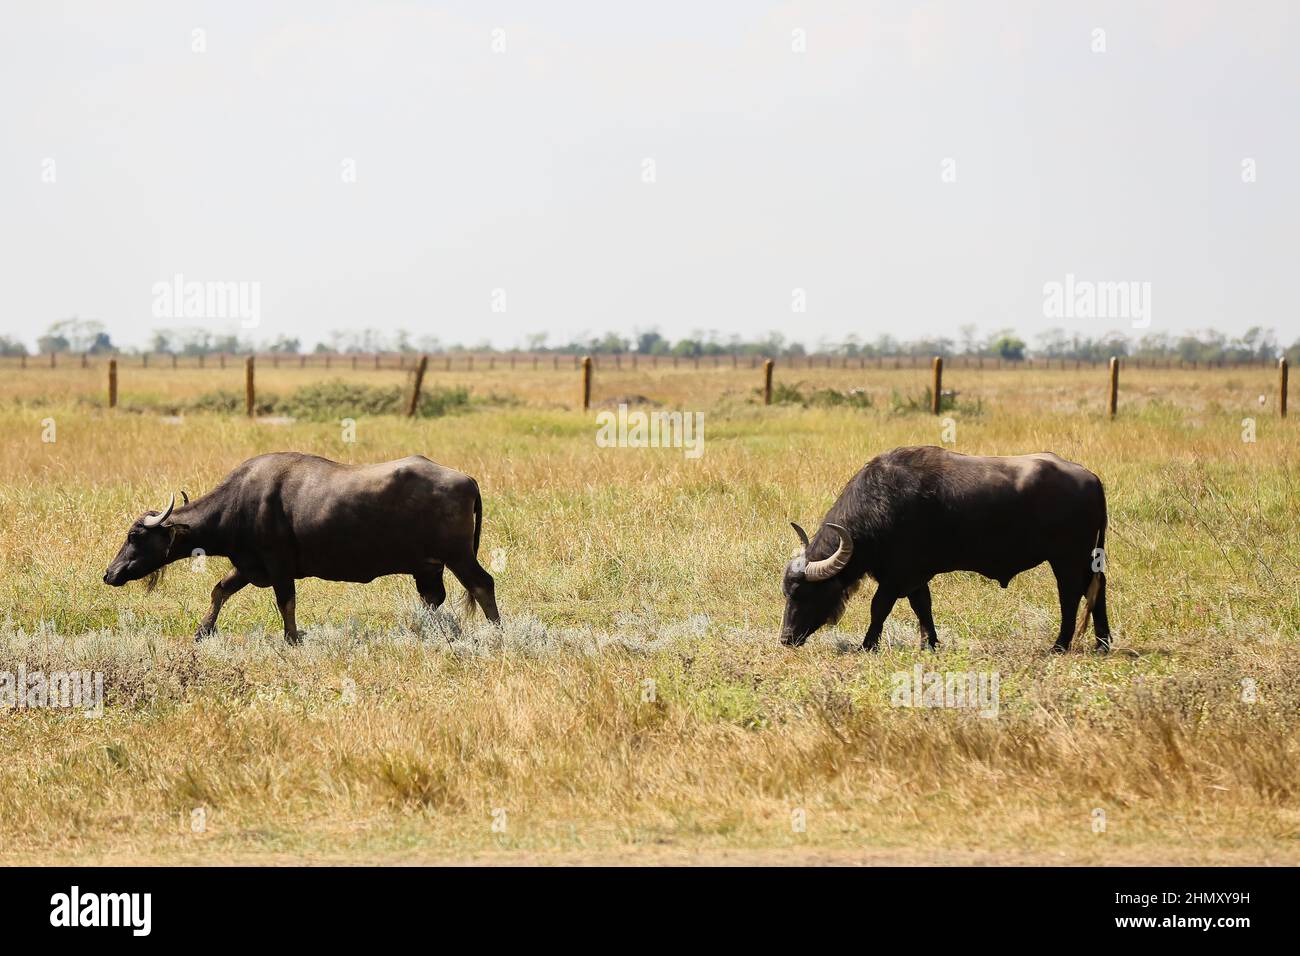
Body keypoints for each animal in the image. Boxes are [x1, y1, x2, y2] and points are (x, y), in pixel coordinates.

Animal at [103, 452, 500, 643]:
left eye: (135, 536)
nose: (110, 574)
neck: (239, 505)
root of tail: (466, 480)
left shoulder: (278, 566)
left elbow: (286, 603)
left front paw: (292, 638)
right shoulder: (248, 566)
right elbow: (219, 591)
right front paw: (203, 632)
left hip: (458, 557)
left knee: (483, 585)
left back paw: (498, 632)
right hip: (428, 566)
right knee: (433, 599)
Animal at [780, 446, 1109, 653]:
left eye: (803, 593)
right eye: (786, 593)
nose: (785, 638)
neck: (880, 506)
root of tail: (1091, 478)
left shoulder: (897, 576)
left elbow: (879, 607)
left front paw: (867, 645)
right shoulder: (916, 577)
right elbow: (923, 606)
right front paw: (930, 643)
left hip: (1066, 558)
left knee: (1070, 594)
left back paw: (1060, 645)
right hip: (1087, 559)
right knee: (1097, 589)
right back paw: (1103, 642)